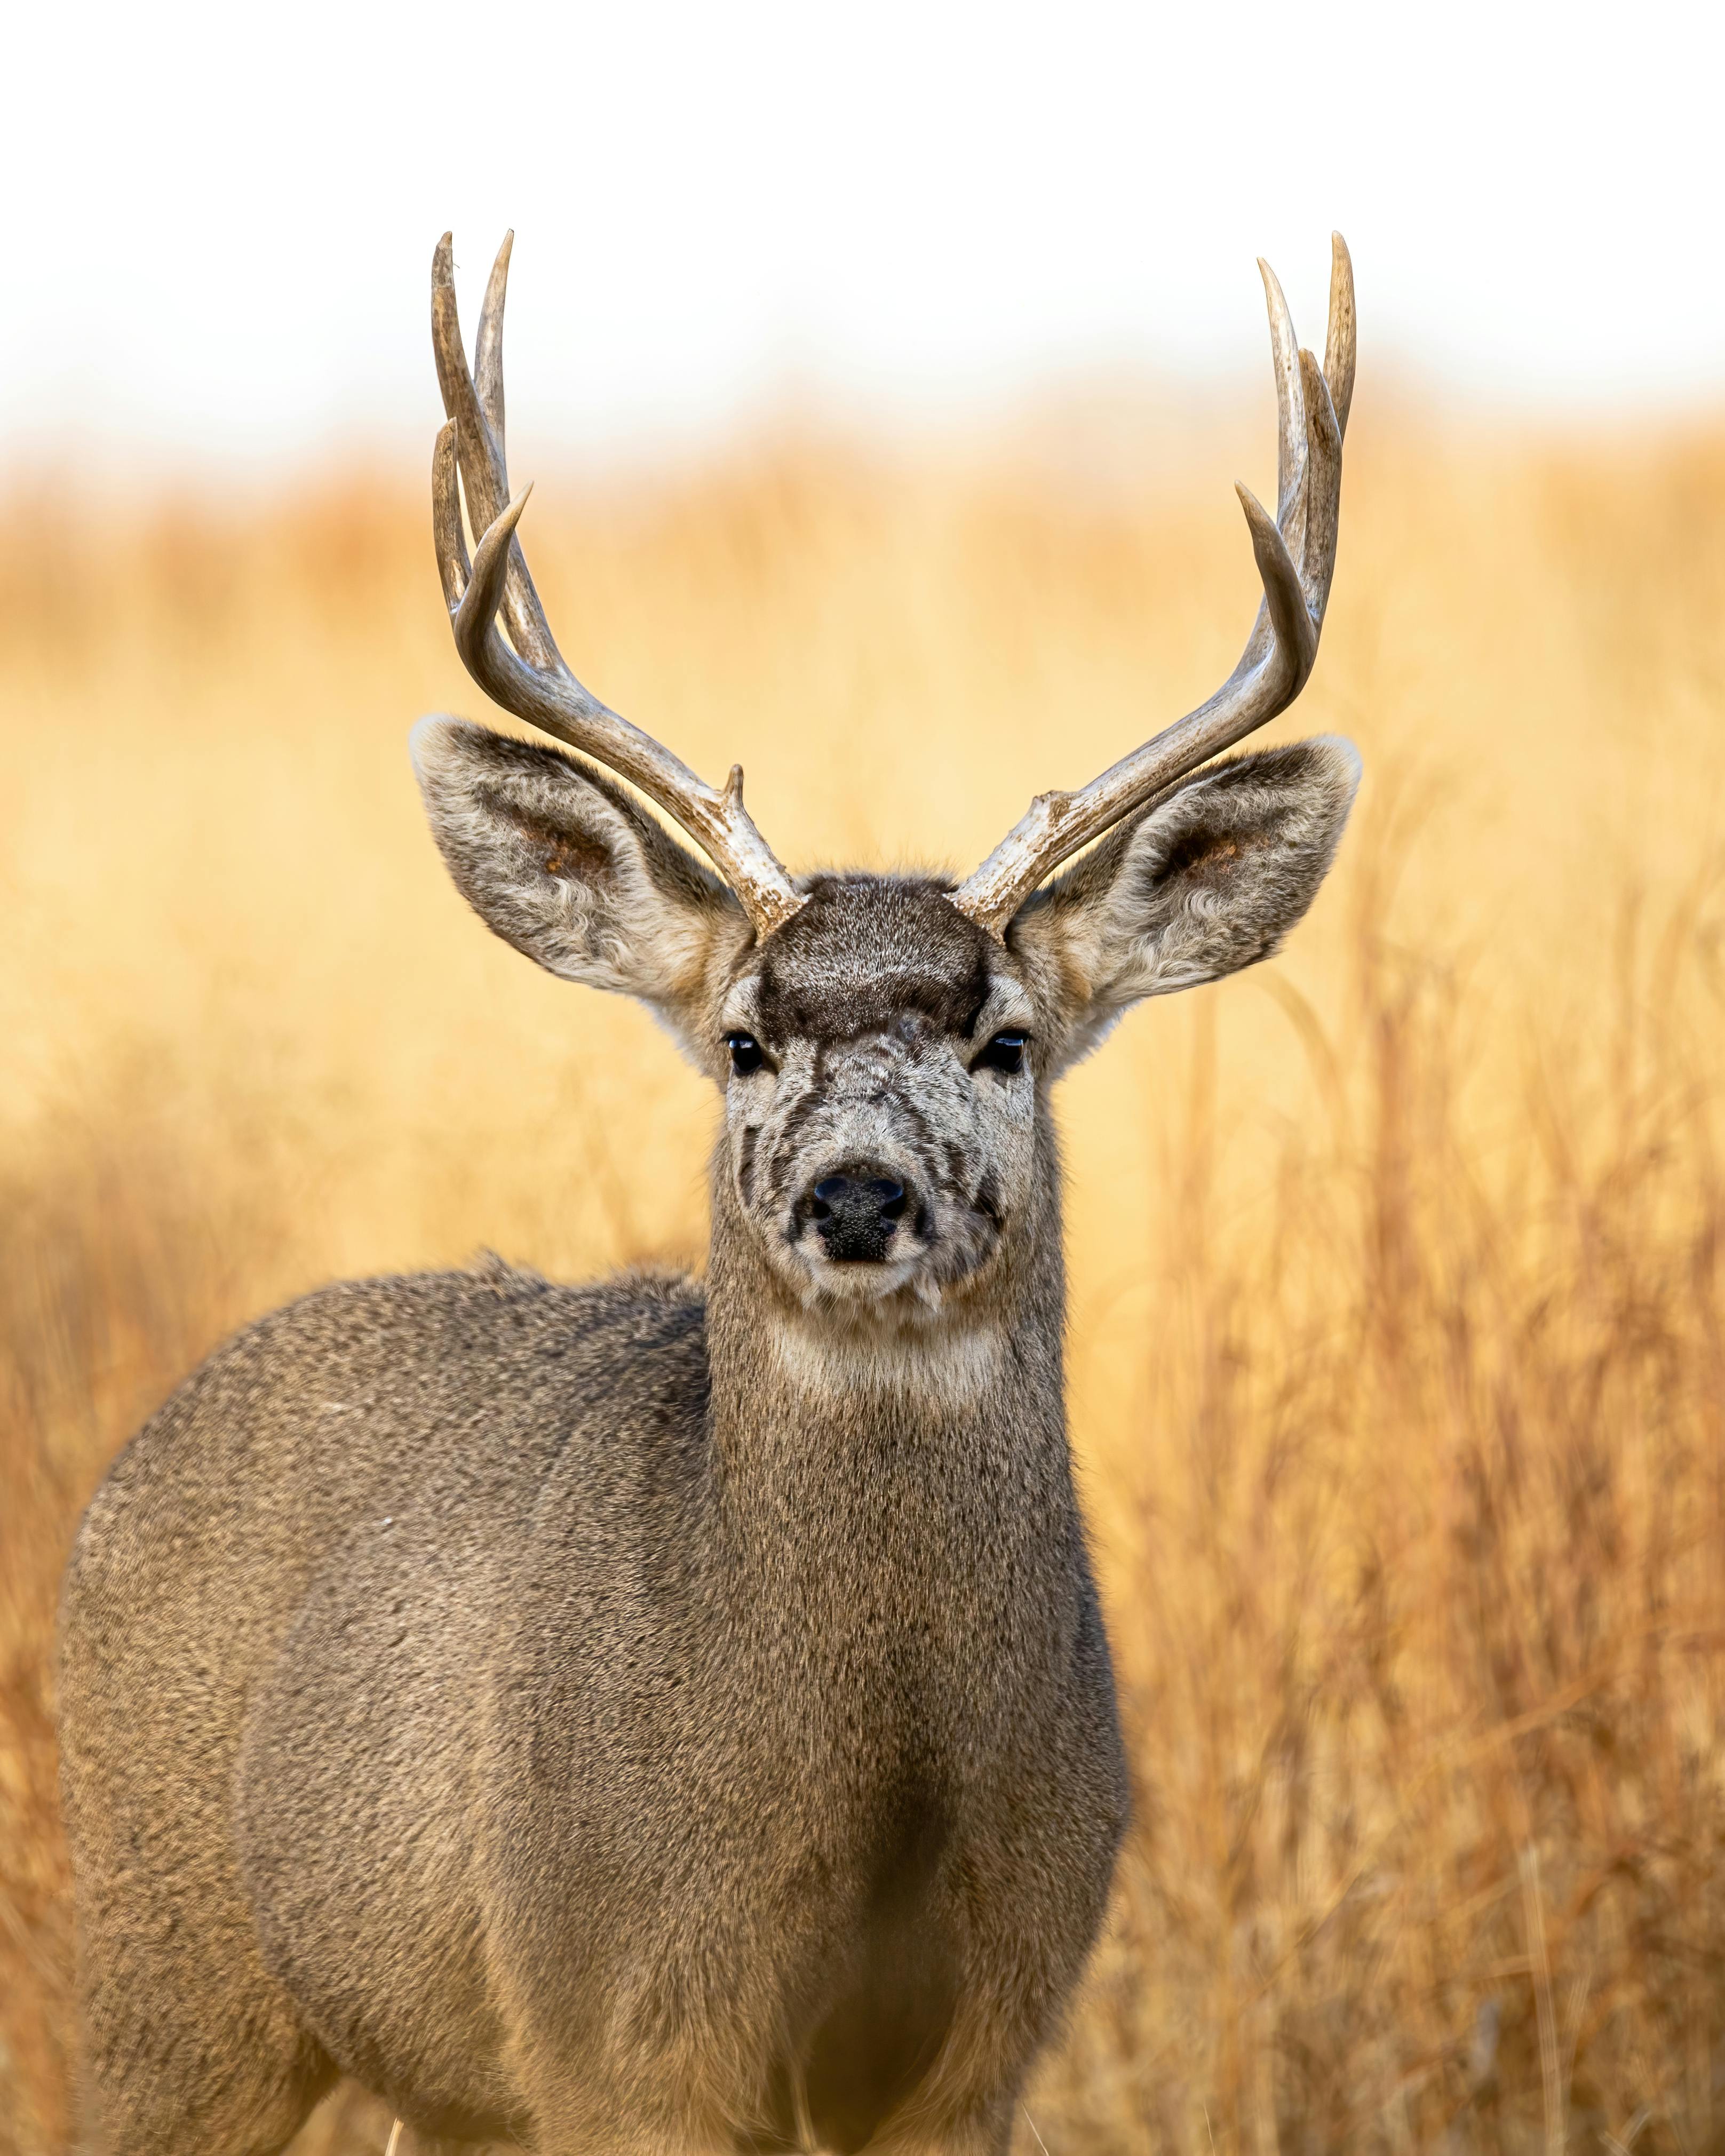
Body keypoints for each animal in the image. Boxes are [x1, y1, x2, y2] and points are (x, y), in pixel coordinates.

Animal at [57, 229, 1359, 2156]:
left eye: (1007, 1039)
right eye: (745, 1038)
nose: (857, 1197)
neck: (870, 1806)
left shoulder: (984, 2043)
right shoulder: (614, 2025)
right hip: (172, 1965)